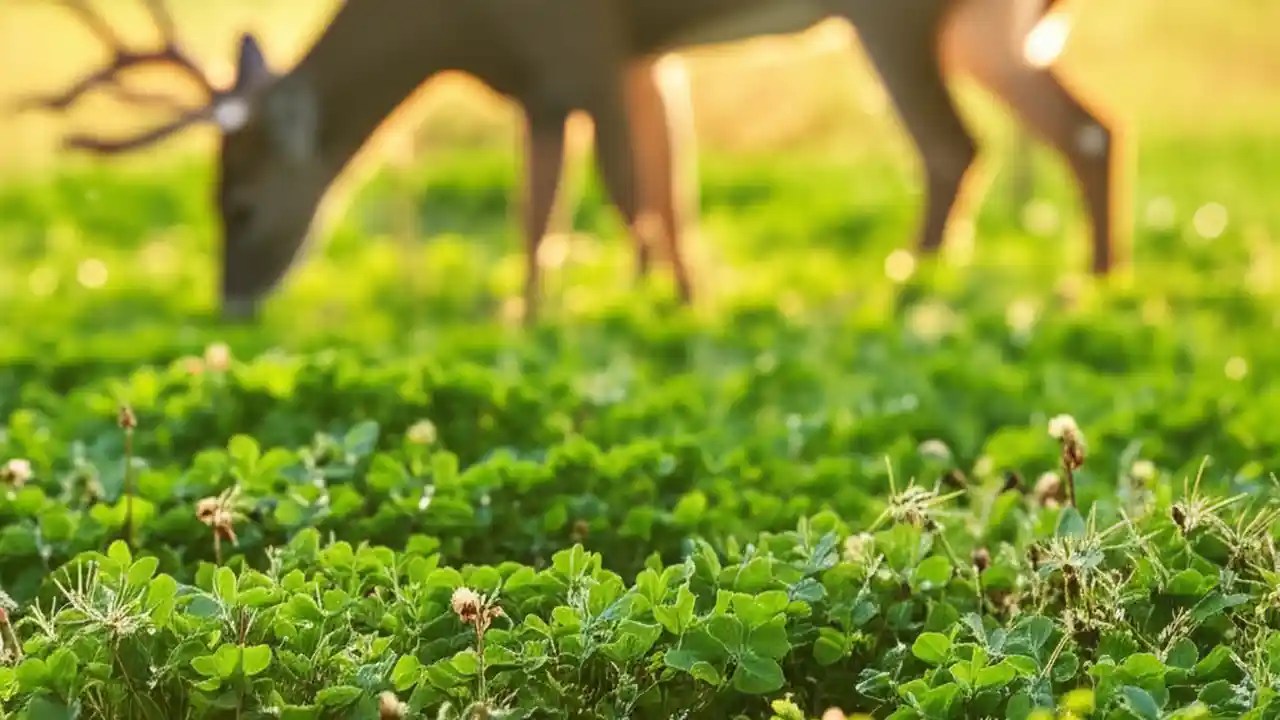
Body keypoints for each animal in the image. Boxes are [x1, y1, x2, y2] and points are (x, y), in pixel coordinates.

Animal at [24, 0, 1124, 322]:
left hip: (896, 14)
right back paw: (1100, 286)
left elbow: (633, 190)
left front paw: (658, 311)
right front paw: (533, 319)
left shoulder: (586, 42)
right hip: (985, 22)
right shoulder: (578, 73)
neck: (450, 28)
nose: (231, 305)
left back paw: (909, 295)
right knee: (1089, 129)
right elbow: (563, 205)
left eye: (241, 204)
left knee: (953, 146)